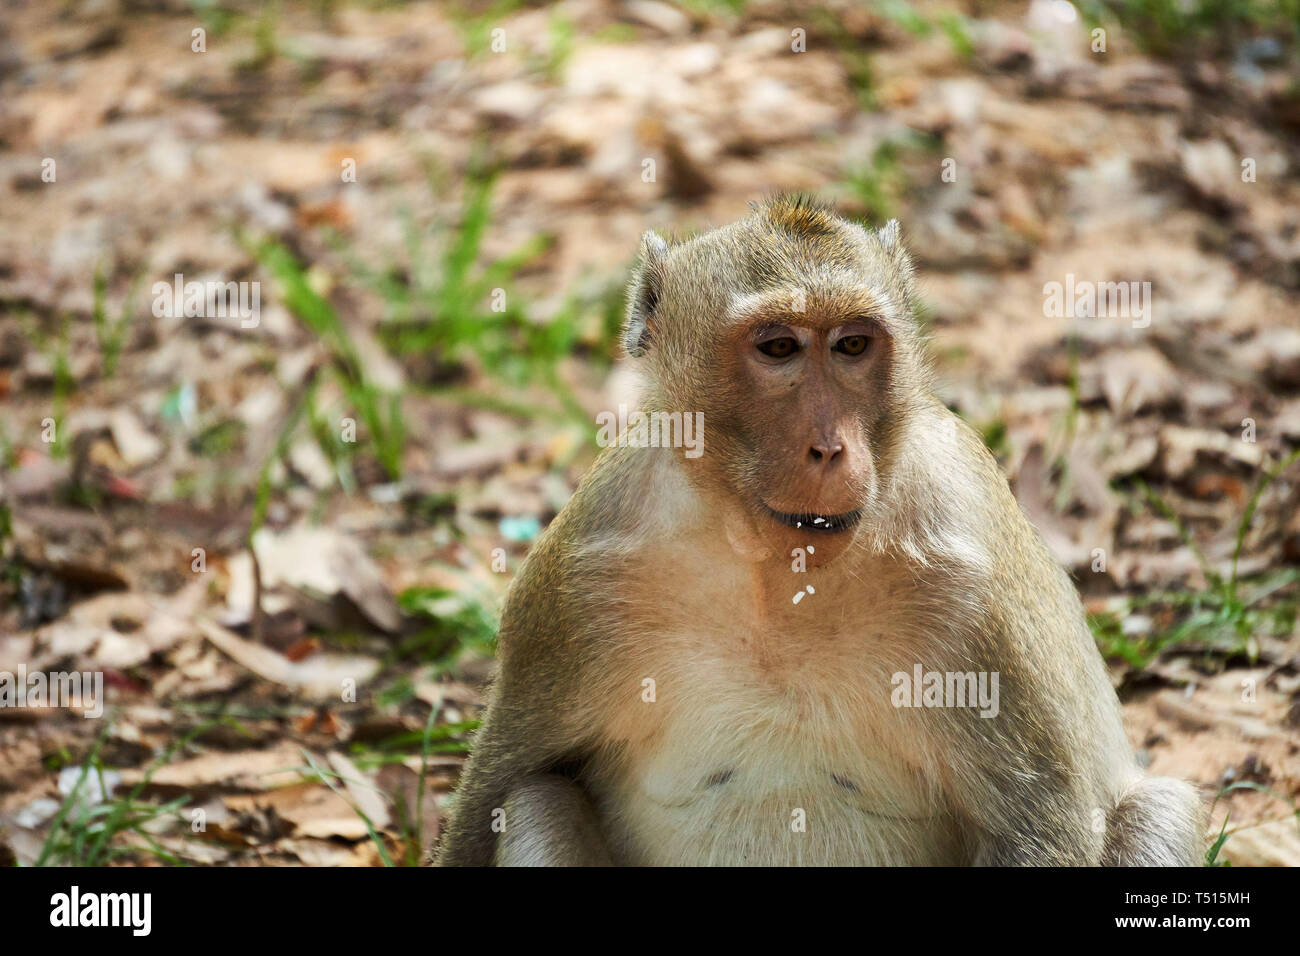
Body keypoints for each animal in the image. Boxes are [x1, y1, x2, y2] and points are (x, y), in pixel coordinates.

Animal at [436, 196, 1204, 866]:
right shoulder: (577, 578)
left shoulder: (980, 578)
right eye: (778, 347)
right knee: (537, 798)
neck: (778, 574)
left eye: (852, 345)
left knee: (1154, 812)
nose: (829, 448)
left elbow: (1038, 823)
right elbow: (495, 793)